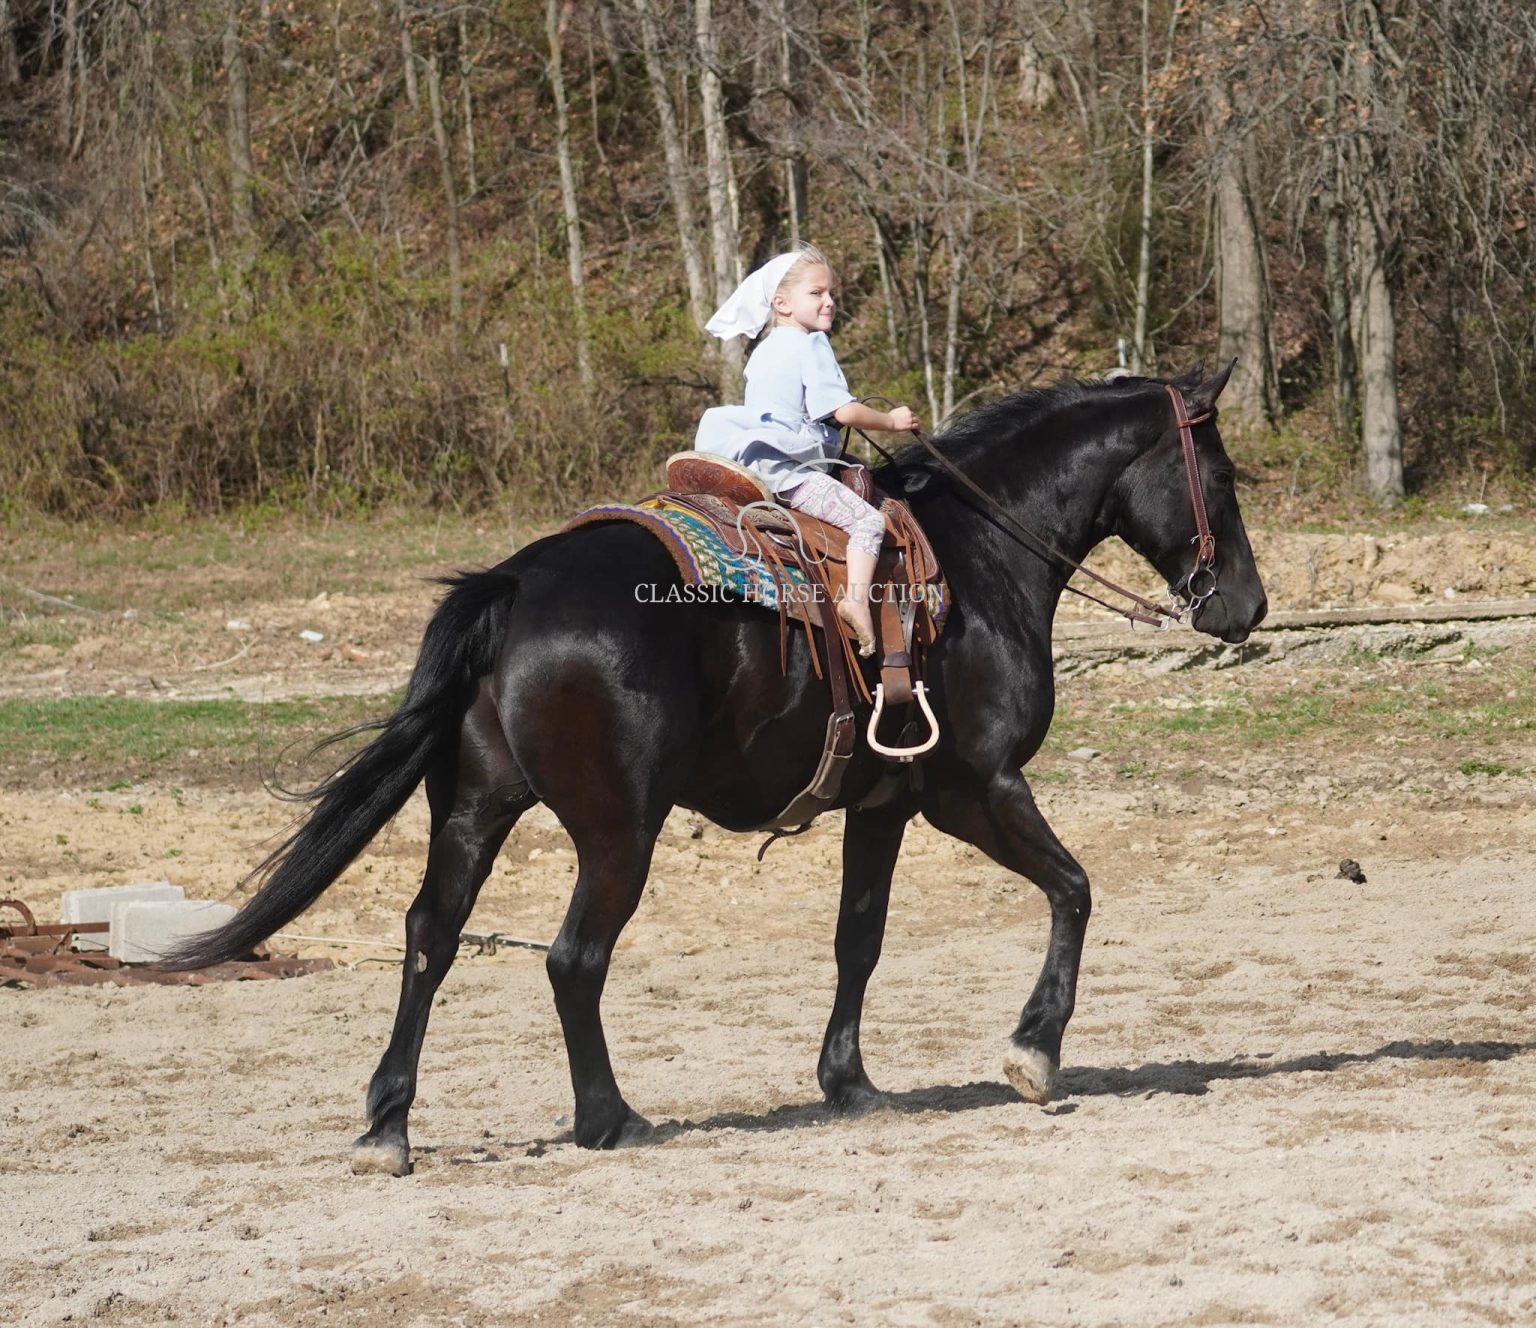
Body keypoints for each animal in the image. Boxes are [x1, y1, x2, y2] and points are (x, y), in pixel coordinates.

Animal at [168, 363, 1267, 1176]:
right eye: (1222, 478)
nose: (1245, 607)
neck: (977, 562)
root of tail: (516, 582)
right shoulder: (976, 790)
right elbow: (1074, 887)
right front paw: (1034, 1052)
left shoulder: (883, 807)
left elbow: (858, 940)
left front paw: (850, 1082)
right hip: (618, 830)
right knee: (573, 957)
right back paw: (609, 1116)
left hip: (474, 812)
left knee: (429, 939)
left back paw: (388, 1125)